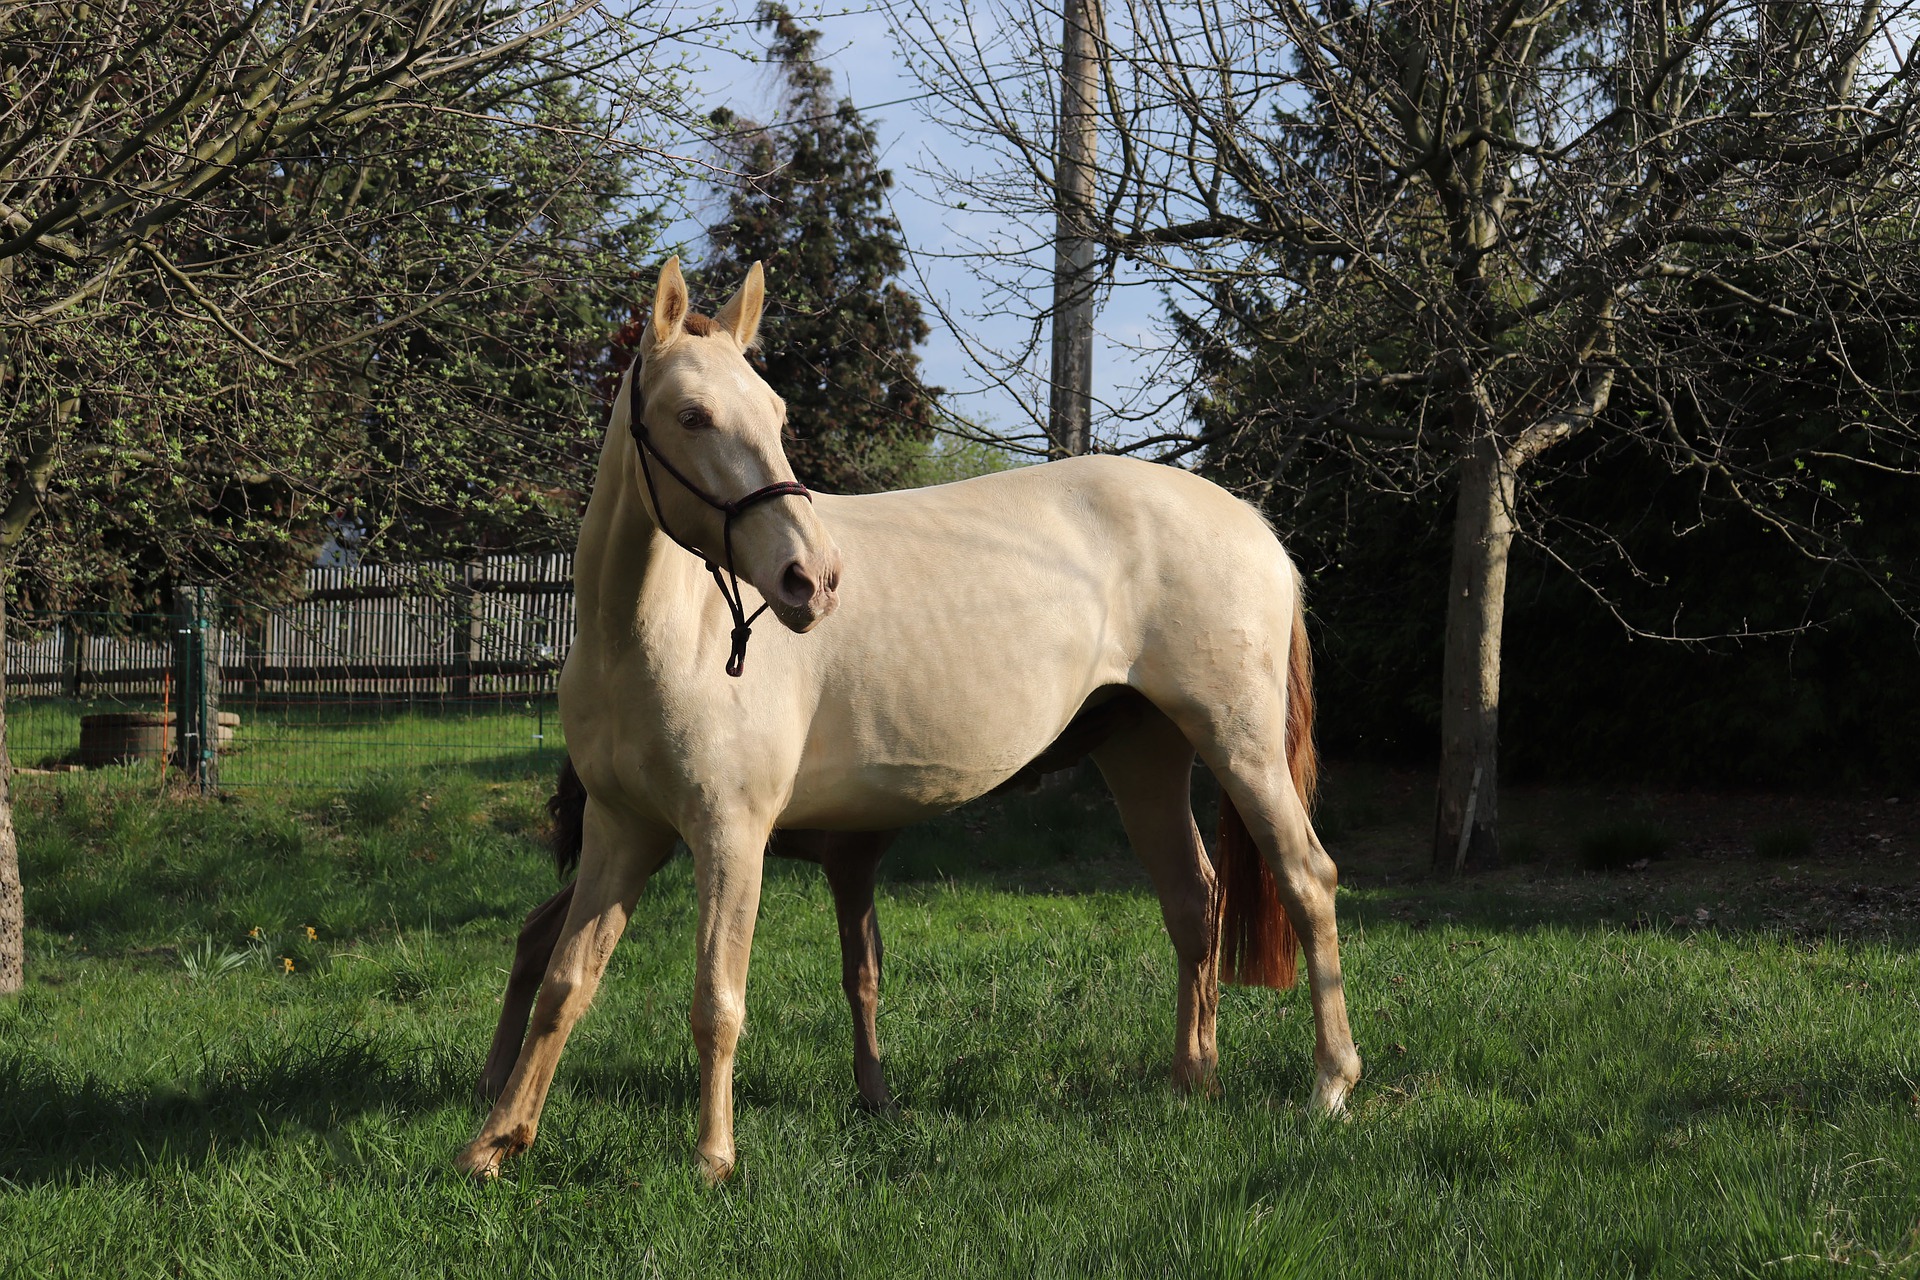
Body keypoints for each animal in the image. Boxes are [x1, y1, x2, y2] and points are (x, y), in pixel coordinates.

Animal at [457, 258, 1360, 1183]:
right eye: (693, 415)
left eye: (776, 414)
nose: (811, 578)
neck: (656, 633)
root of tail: (1252, 524)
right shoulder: (623, 830)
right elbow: (565, 982)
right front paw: (495, 1143)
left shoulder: (727, 835)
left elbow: (717, 1000)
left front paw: (713, 1159)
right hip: (1142, 754)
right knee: (1191, 900)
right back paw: (1193, 1079)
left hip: (1240, 746)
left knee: (1306, 880)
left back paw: (1330, 1085)